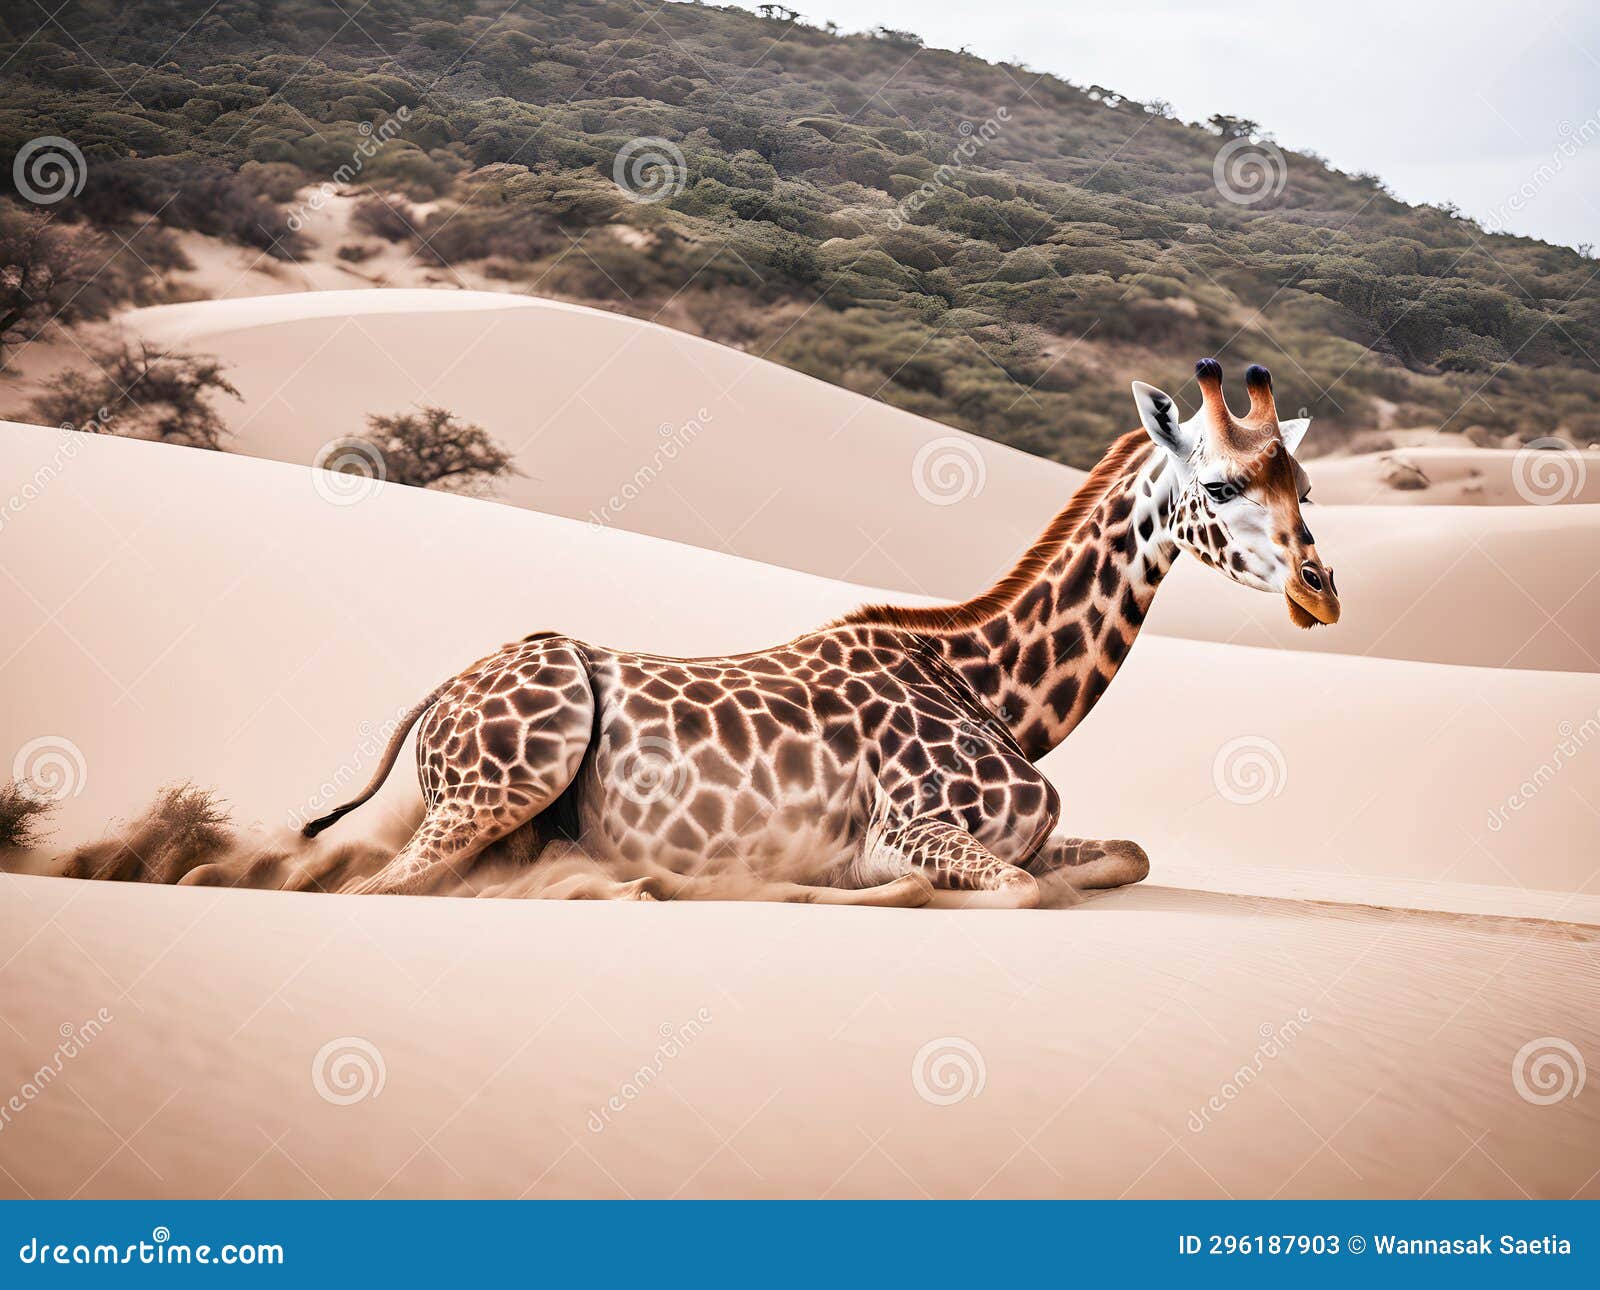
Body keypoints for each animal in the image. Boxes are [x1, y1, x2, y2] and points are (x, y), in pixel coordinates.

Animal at [302, 359, 1340, 904]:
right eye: (1220, 487)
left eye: (1305, 485)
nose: (1323, 591)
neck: (990, 690)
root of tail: (439, 699)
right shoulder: (913, 828)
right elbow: (1013, 887)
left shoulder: (1035, 838)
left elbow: (1125, 854)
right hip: (511, 770)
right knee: (370, 890)